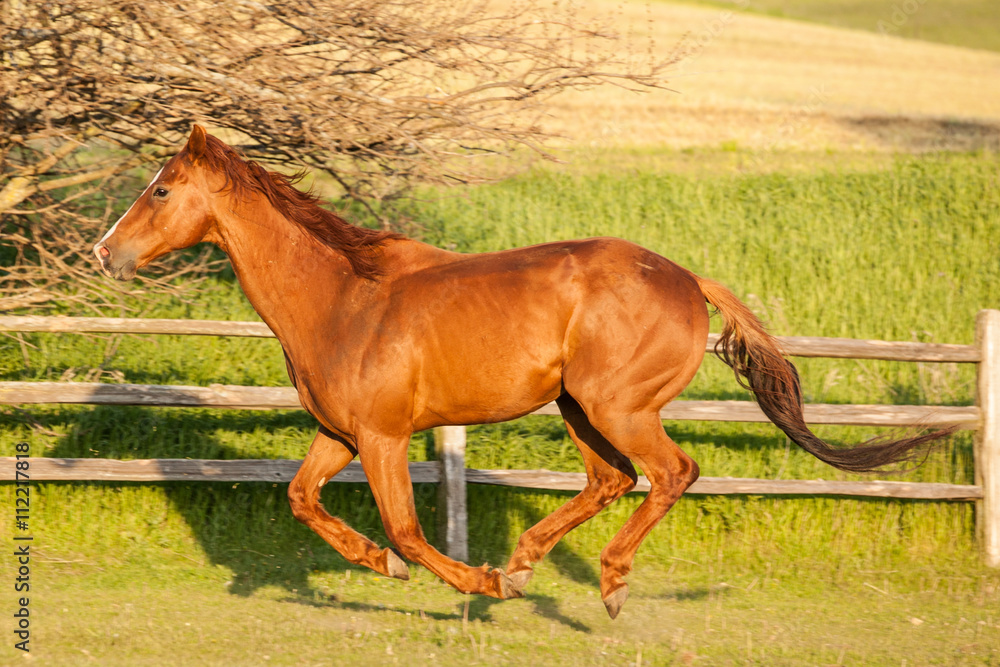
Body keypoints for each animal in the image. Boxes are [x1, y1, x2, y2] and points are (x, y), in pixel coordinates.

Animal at [93, 125, 952, 619]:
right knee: (611, 480)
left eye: (161, 189)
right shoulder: (340, 433)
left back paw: (603, 582)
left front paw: (471, 584)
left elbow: (408, 529)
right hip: (577, 408)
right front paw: (389, 567)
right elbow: (304, 500)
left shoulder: (382, 436)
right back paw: (528, 559)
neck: (341, 299)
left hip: (618, 407)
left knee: (670, 472)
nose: (106, 252)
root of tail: (689, 281)